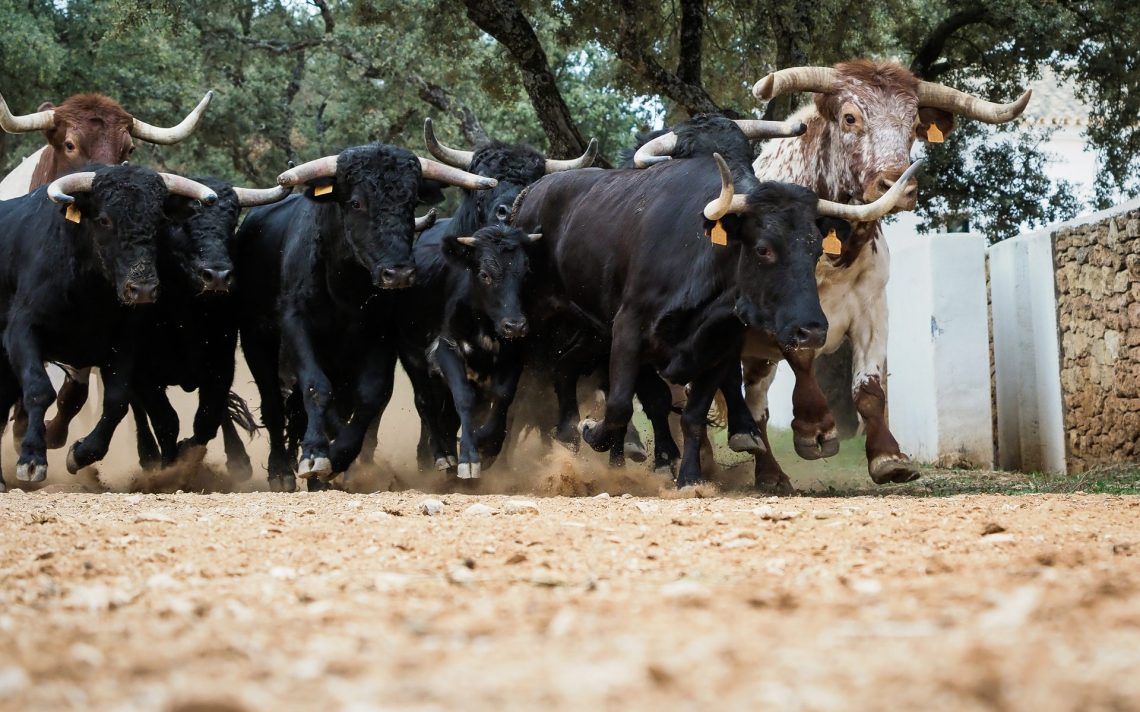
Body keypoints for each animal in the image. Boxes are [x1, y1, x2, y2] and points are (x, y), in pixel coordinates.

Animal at [0, 165, 218, 492]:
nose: (143, 289)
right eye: (104, 219)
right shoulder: (22, 332)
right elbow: (39, 390)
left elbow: (116, 403)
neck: (87, 290)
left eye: (159, 221)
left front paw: (80, 453)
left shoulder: (123, 346)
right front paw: (32, 460)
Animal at [235, 143, 496, 492]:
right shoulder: (297, 327)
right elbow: (316, 387)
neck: (345, 289)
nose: (398, 273)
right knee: (274, 403)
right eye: (356, 202)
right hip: (256, 339)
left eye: (410, 203)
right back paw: (281, 471)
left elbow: (370, 398)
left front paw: (338, 458)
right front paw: (314, 455)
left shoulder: (379, 337)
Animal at [396, 224, 543, 479]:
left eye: (526, 273)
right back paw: (442, 454)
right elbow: (464, 398)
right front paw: (468, 458)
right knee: (425, 403)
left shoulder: (513, 356)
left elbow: (503, 395)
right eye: (484, 274)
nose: (515, 325)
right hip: (412, 359)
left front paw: (487, 443)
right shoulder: (445, 349)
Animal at [510, 130, 917, 486]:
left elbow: (692, 416)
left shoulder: (719, 347)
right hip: (542, 322)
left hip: (589, 331)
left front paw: (690, 477)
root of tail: (531, 196)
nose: (812, 329)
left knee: (563, 369)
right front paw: (595, 433)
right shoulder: (628, 330)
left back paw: (565, 433)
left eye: (816, 248)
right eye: (763, 248)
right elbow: (623, 404)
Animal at [740, 60, 1031, 489]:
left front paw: (888, 457)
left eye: (913, 123)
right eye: (850, 117)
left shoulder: (872, 309)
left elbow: (870, 389)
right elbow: (803, 360)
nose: (896, 184)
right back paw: (766, 472)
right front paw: (815, 428)